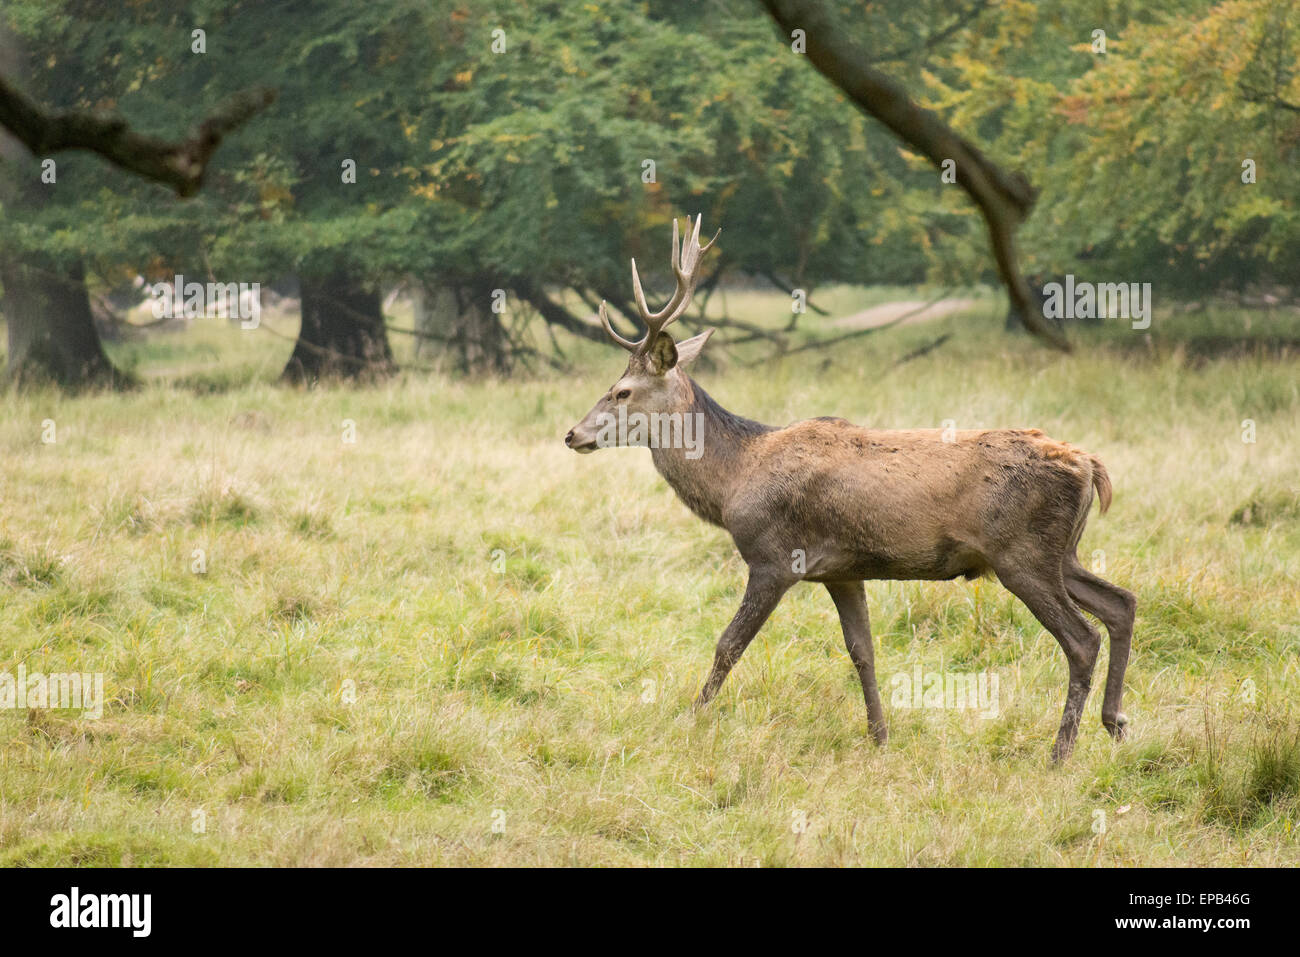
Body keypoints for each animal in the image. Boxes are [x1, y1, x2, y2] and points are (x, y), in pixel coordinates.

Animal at [564, 216, 1137, 761]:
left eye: (622, 391)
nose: (572, 434)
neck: (735, 480)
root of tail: (1089, 466)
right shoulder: (843, 571)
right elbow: (863, 652)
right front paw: (880, 738)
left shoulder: (774, 557)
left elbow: (728, 644)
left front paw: (691, 720)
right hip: (1060, 552)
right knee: (1121, 603)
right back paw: (1116, 724)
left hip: (1021, 553)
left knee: (1082, 638)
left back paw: (1060, 752)